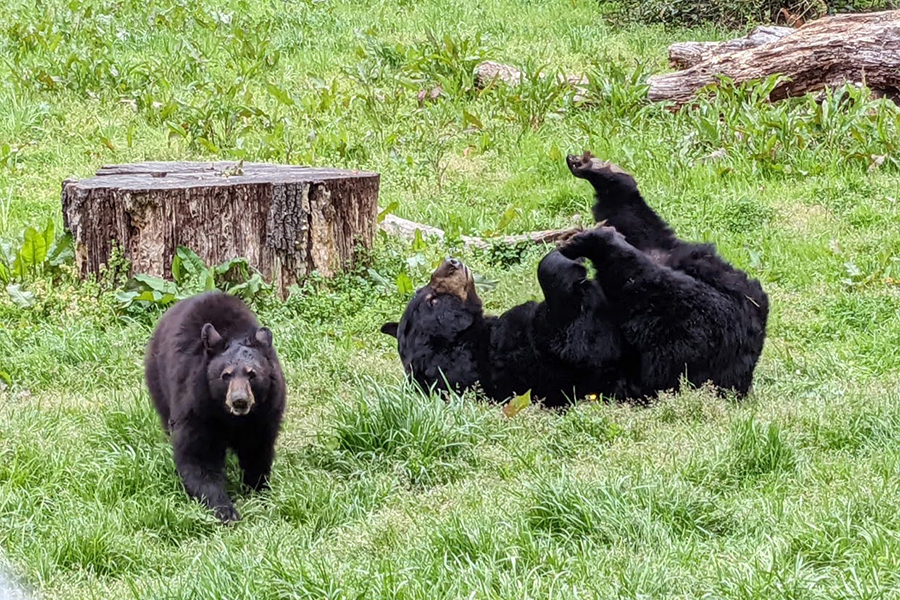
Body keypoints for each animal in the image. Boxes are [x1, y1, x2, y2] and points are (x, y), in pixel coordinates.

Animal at [144, 291, 286, 523]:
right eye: (225, 375)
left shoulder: (265, 412)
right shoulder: (198, 410)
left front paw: (259, 492)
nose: (239, 400)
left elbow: (257, 450)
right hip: (158, 380)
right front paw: (226, 510)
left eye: (252, 374)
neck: (232, 418)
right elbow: (198, 457)